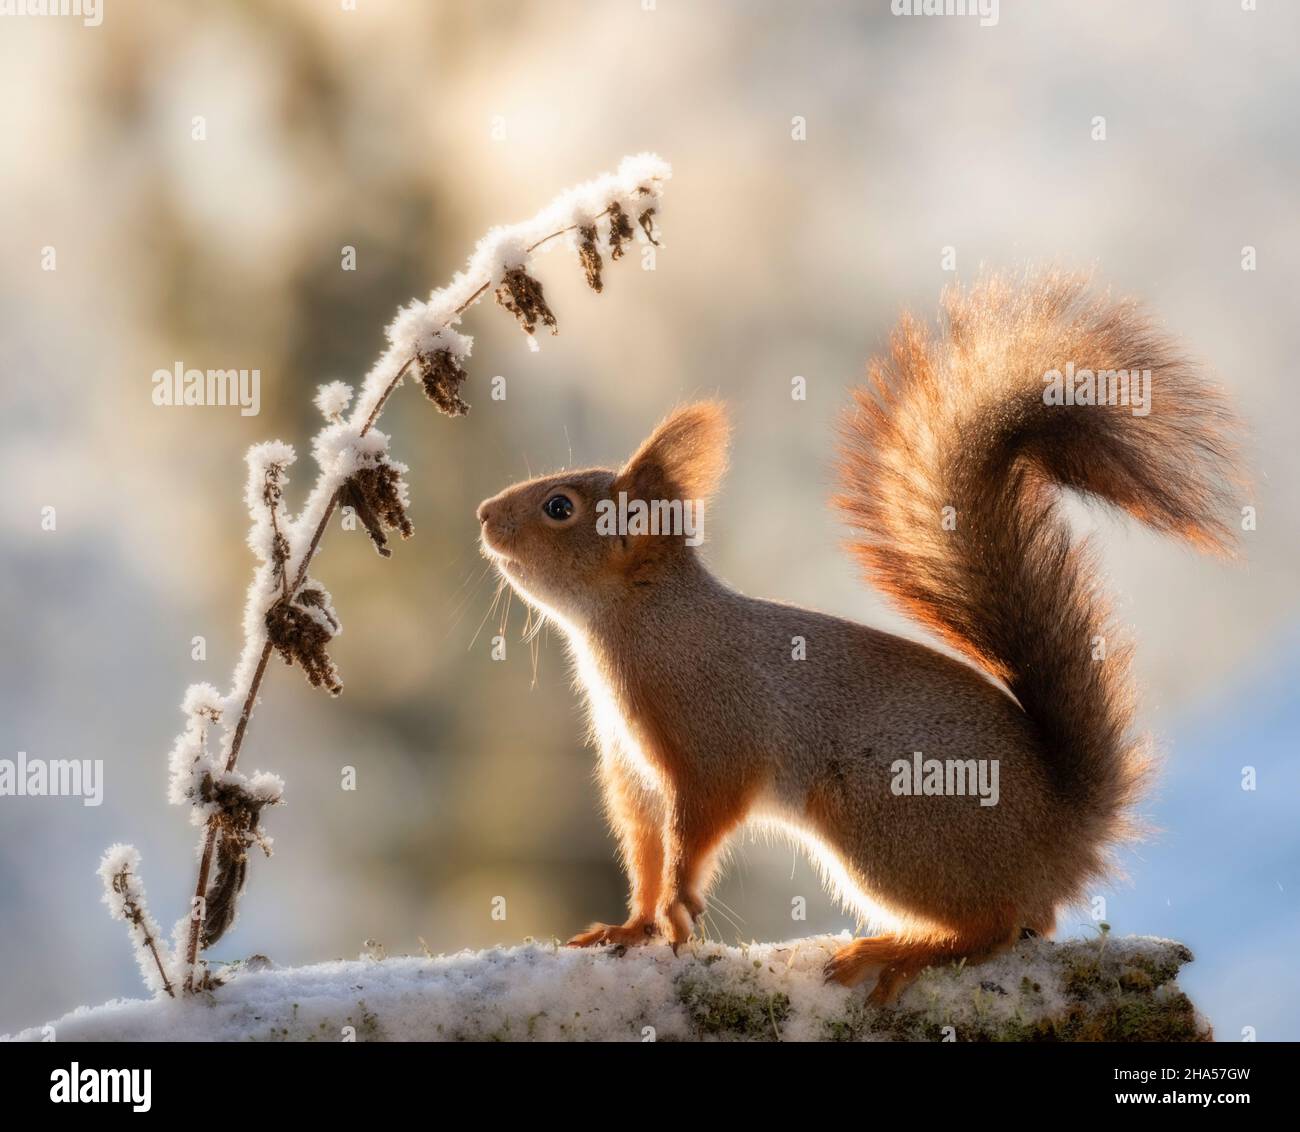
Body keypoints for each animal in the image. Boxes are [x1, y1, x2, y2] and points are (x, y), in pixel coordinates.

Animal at [476, 272, 1242, 1003]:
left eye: (559, 508)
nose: (484, 513)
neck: (637, 623)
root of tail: (1062, 837)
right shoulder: (634, 775)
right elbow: (646, 852)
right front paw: (634, 925)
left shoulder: (712, 732)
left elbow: (702, 823)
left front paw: (678, 906)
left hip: (883, 825)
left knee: (999, 925)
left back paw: (904, 951)